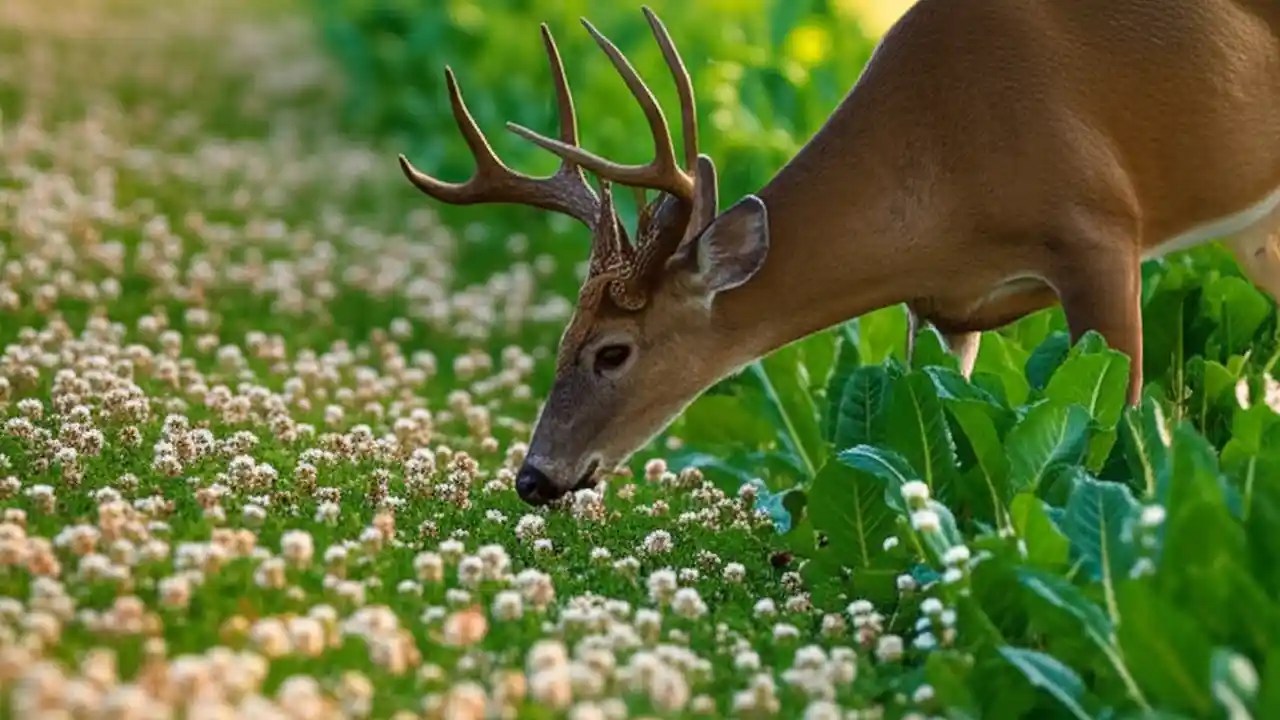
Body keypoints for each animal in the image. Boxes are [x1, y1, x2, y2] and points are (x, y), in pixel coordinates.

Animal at [399, 2, 1280, 505]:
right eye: (560, 341)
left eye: (612, 351)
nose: (533, 478)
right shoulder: (946, 307)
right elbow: (935, 427)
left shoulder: (1099, 232)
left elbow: (1118, 430)